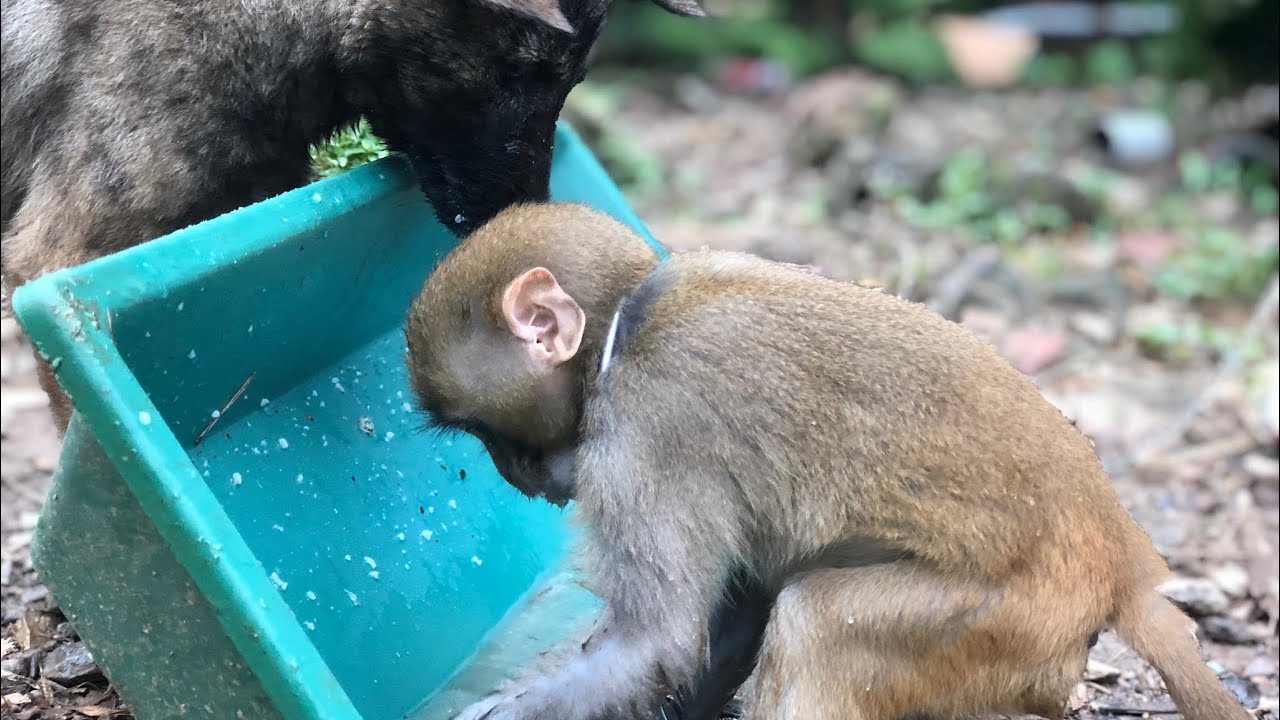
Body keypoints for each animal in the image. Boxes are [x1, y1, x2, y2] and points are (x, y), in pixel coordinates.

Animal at [404, 202, 1251, 720]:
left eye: (483, 429)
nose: (513, 472)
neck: (628, 324)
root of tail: (1123, 559)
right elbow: (736, 604)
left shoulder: (646, 431)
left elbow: (660, 640)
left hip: (1005, 619)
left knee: (816, 620)